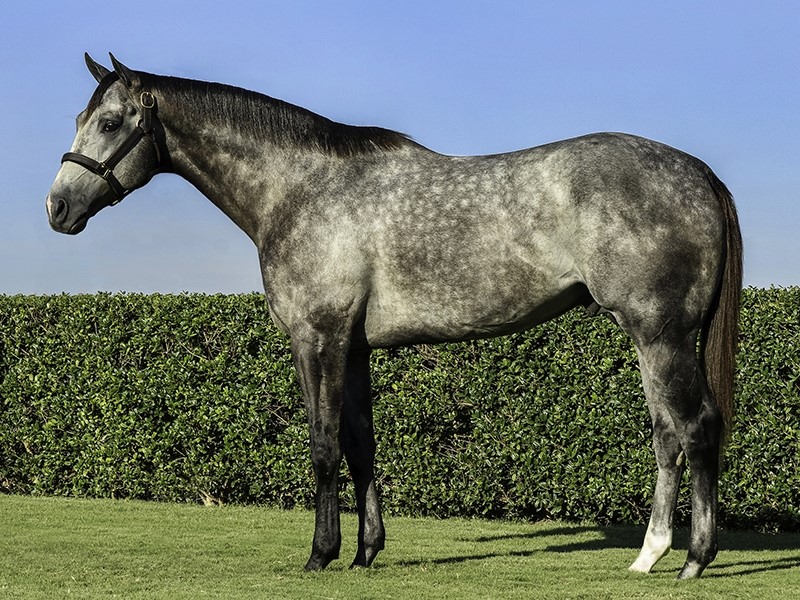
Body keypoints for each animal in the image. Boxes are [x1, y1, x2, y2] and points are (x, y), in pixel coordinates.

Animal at [46, 54, 742, 579]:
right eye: (80, 118)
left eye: (110, 121)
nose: (57, 208)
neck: (300, 191)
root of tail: (697, 172)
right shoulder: (353, 349)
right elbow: (360, 444)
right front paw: (364, 553)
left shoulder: (318, 340)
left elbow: (324, 445)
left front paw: (320, 555)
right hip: (658, 337)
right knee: (667, 433)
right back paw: (650, 556)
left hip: (660, 333)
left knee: (693, 427)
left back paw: (691, 560)